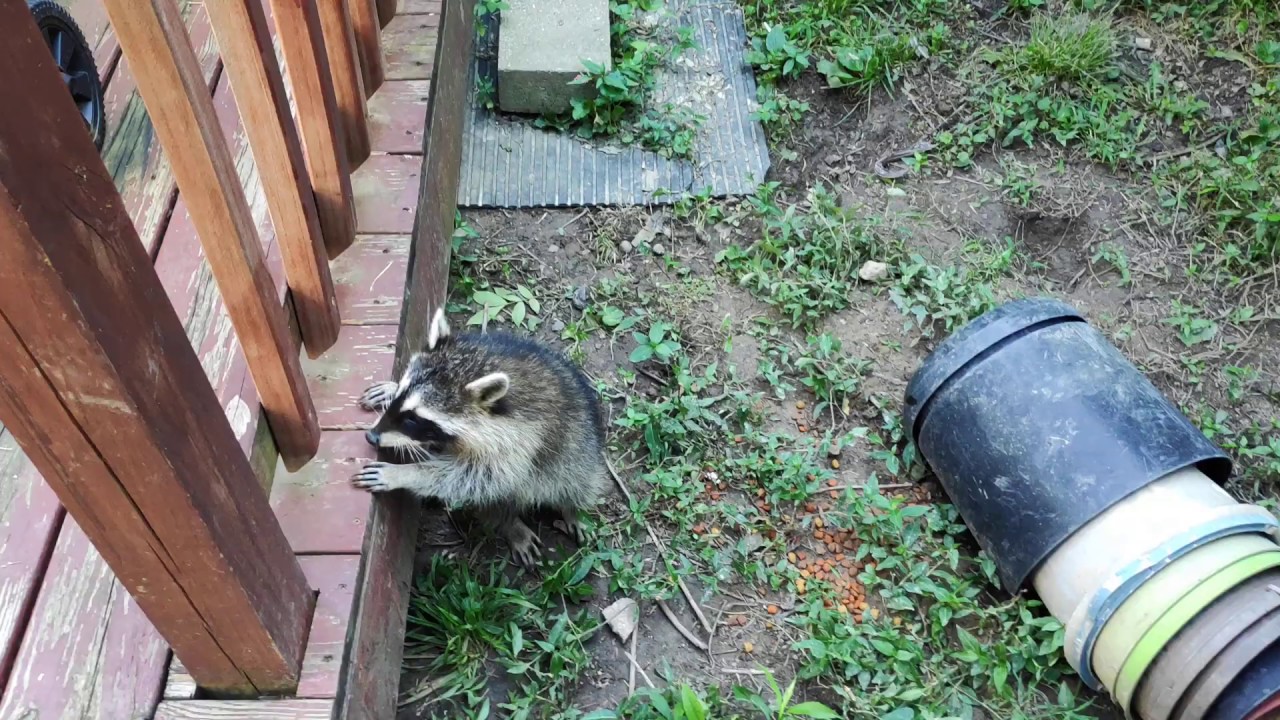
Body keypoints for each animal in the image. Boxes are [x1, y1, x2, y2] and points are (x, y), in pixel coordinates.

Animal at [351, 307, 607, 570]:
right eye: (402, 396)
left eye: (414, 419)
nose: (371, 436)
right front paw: (390, 390)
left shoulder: (523, 440)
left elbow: (475, 477)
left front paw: (405, 473)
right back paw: (510, 523)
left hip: (576, 455)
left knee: (567, 483)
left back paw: (569, 509)